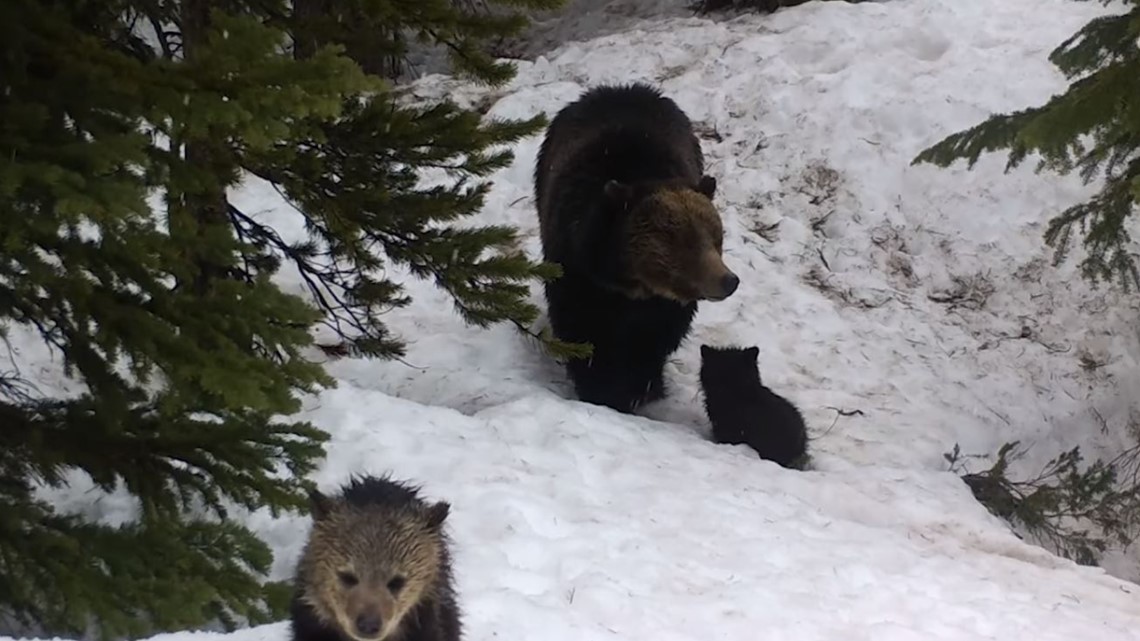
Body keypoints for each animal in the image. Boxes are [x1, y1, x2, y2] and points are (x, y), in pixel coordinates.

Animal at [534, 82, 739, 414]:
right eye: (681, 241)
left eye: (715, 236)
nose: (728, 280)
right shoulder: (578, 274)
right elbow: (583, 330)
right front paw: (600, 387)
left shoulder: (664, 306)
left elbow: (652, 342)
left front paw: (639, 387)